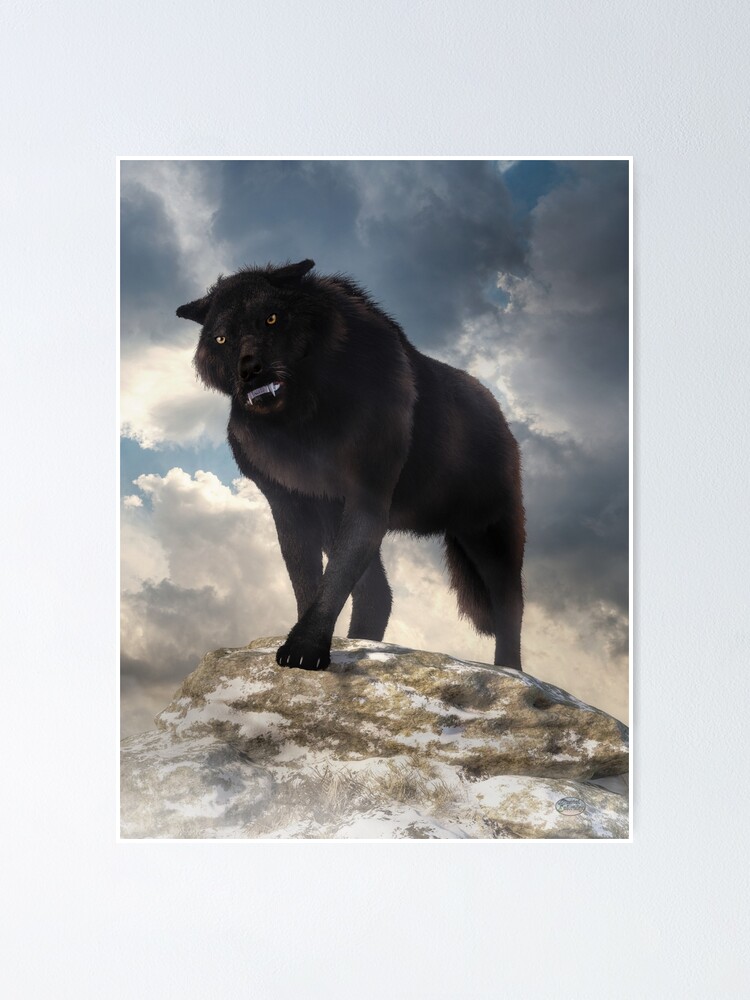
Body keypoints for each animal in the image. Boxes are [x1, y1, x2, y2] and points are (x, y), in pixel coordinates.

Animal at [177, 259, 525, 671]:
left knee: (510, 605)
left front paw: (304, 650)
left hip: (489, 532)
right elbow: (308, 582)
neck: (301, 423)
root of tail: (496, 407)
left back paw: (510, 668)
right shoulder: (289, 505)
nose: (250, 371)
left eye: (271, 318)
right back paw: (363, 643)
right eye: (220, 340)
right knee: (379, 594)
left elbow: (335, 578)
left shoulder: (367, 498)